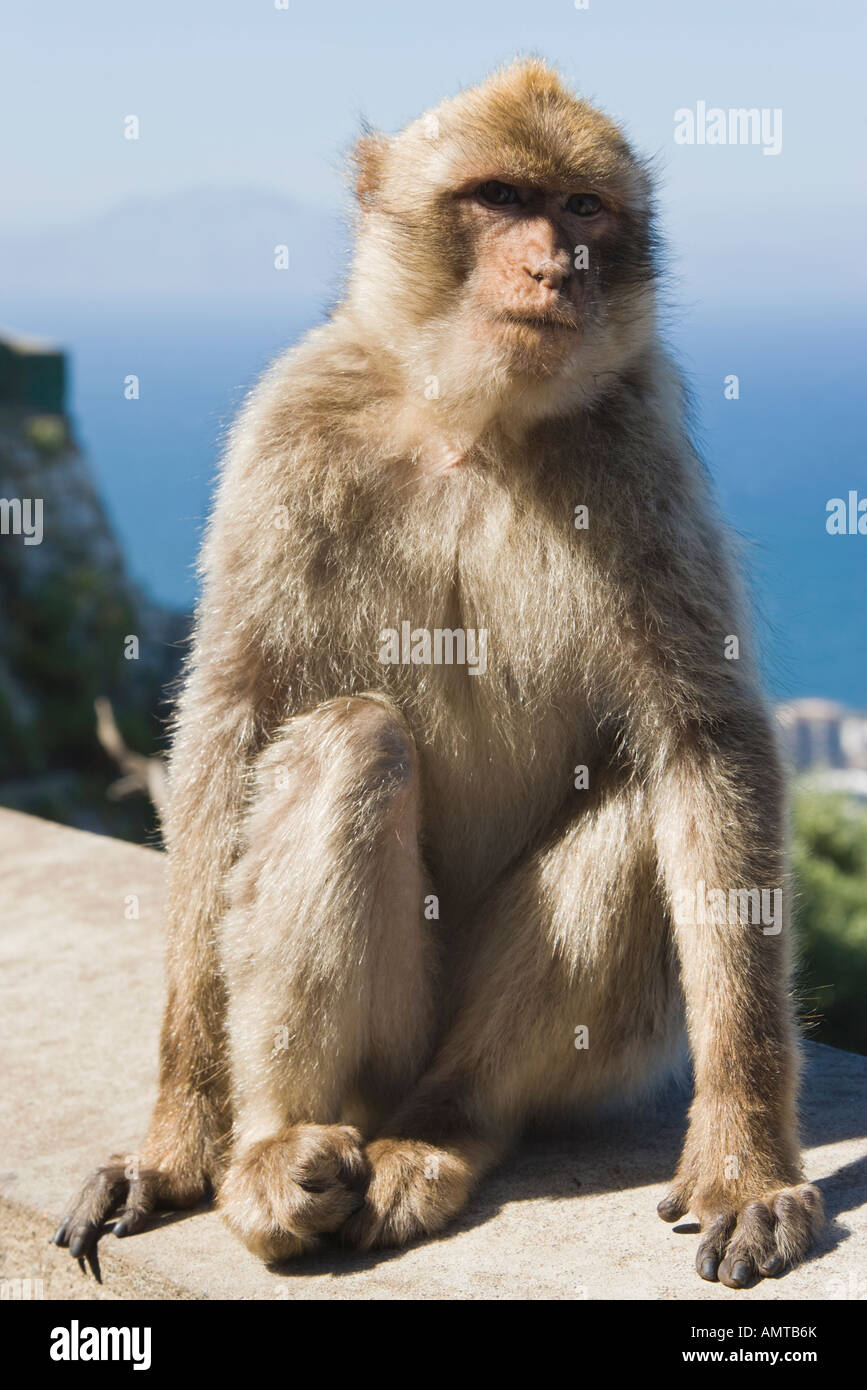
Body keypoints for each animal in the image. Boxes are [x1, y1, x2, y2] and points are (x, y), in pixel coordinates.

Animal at [55, 58, 823, 1289]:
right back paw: (273, 1156)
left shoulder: (638, 445)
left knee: (642, 804)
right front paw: (176, 1144)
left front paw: (744, 1161)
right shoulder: (292, 424)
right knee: (350, 738)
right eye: (500, 196)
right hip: (385, 1045)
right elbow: (233, 723)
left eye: (583, 208)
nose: (556, 265)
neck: (472, 417)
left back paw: (442, 1133)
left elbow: (704, 745)